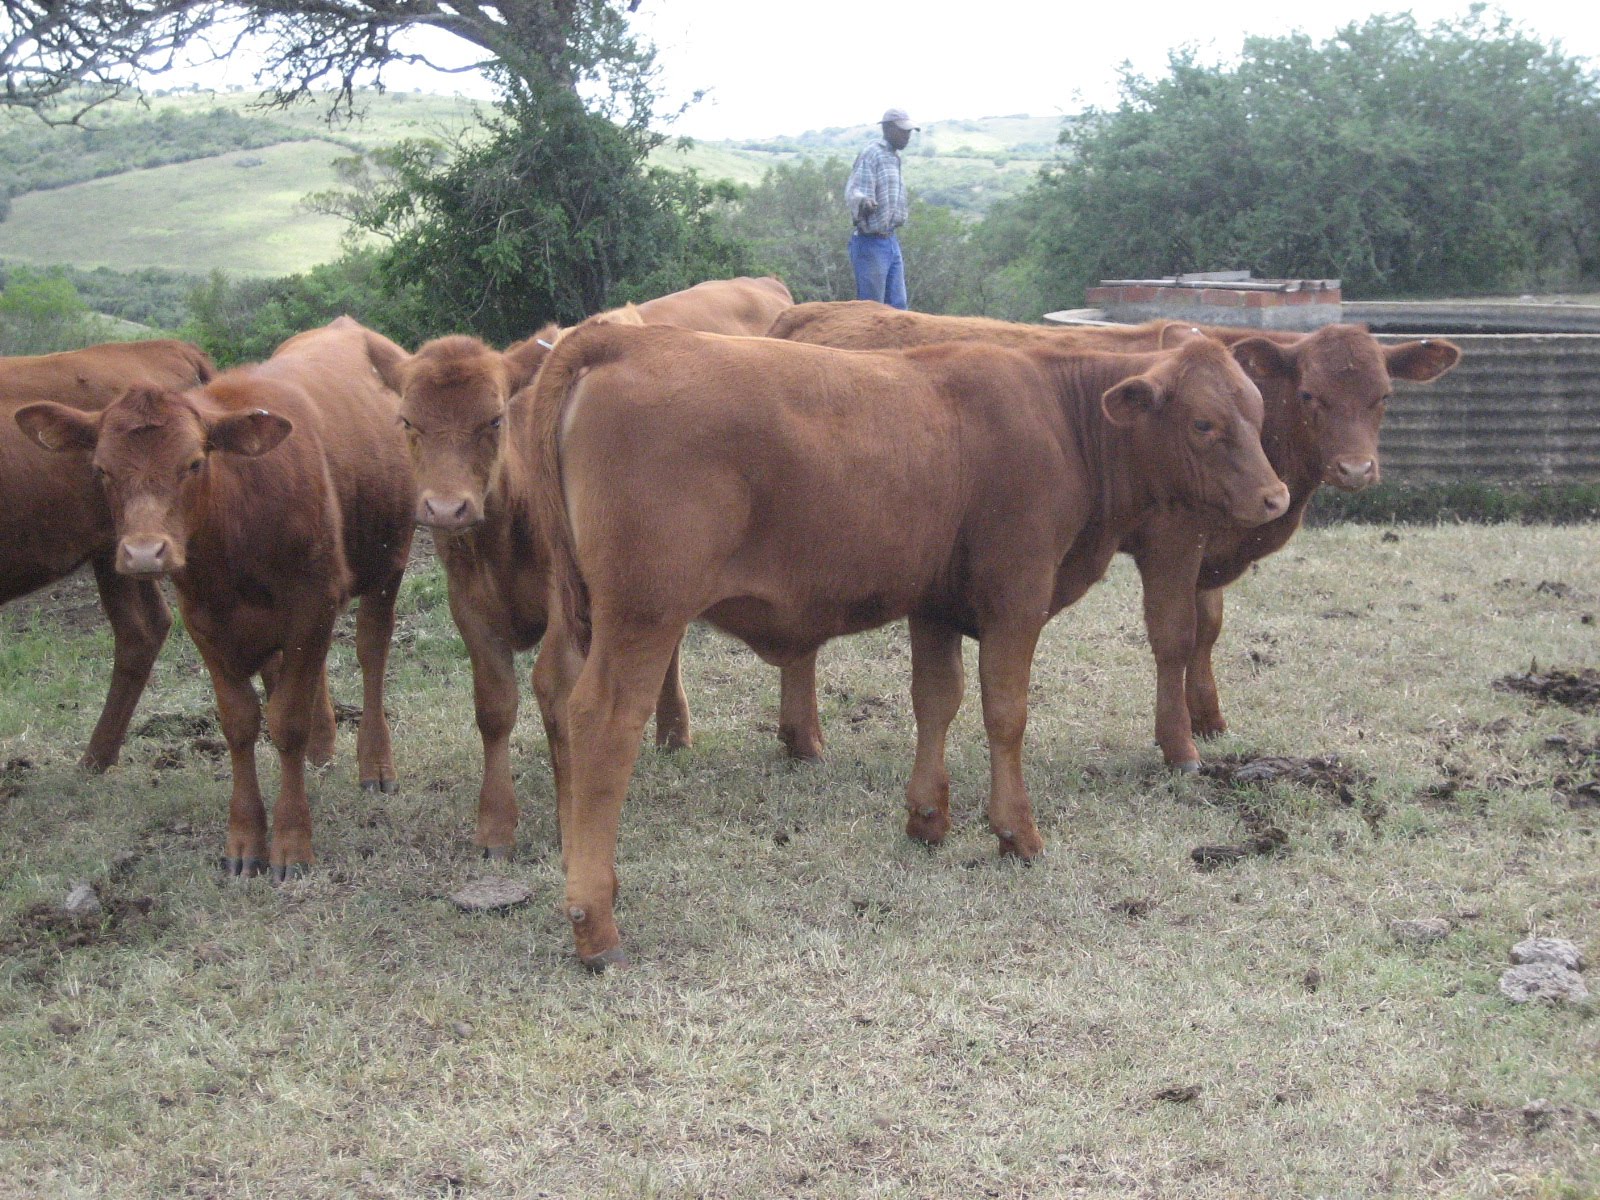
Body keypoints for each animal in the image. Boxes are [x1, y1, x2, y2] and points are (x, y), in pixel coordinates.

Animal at [526, 323, 1290, 967]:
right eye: (1204, 423)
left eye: (1258, 413)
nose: (1276, 497)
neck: (1057, 415)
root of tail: (624, 337)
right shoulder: (1016, 598)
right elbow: (1004, 713)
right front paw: (1016, 833)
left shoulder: (936, 605)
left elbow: (936, 701)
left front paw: (928, 818)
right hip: (643, 616)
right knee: (603, 723)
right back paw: (596, 923)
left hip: (578, 610)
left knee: (555, 693)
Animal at [772, 303, 1461, 767]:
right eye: (1312, 394)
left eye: (1383, 396)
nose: (1356, 469)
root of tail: (810, 311)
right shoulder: (1174, 538)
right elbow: (1174, 637)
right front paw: (1179, 745)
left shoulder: (1208, 550)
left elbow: (1208, 629)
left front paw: (1208, 718)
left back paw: (801, 739)